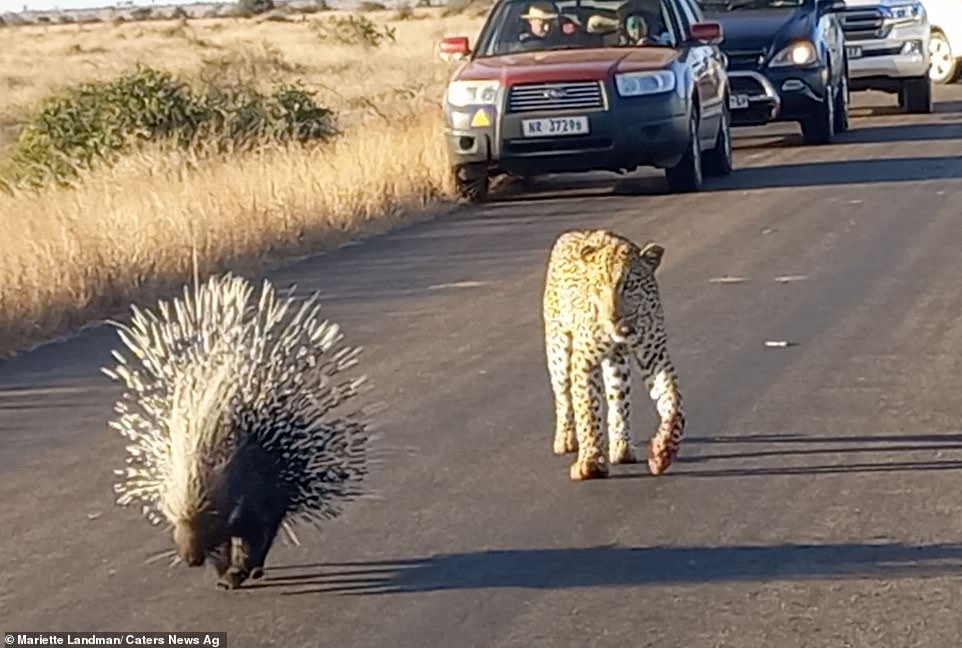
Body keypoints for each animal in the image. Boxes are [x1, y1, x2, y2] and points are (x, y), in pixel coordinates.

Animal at [540, 228, 684, 480]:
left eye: (629, 285)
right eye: (599, 287)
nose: (613, 317)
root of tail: (567, 234)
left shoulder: (655, 356)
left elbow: (673, 401)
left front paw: (663, 451)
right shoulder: (584, 361)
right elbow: (588, 409)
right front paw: (590, 463)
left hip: (618, 365)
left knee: (619, 402)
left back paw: (622, 447)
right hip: (559, 349)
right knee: (563, 396)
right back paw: (565, 438)